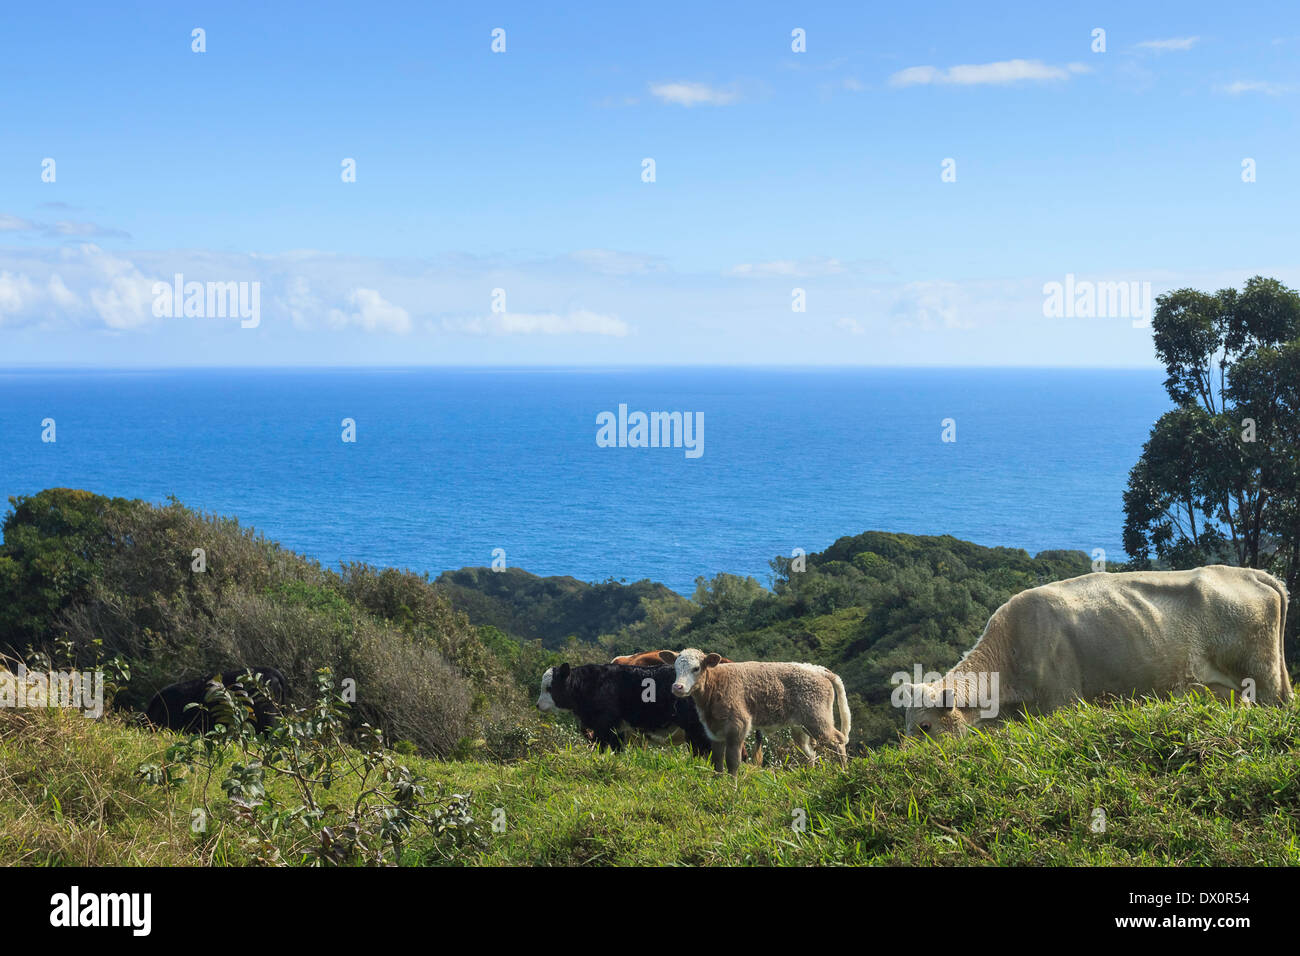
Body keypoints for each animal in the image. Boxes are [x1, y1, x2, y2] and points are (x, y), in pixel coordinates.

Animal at [536, 662, 713, 757]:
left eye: (550, 687)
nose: (537, 705)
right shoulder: (617, 729)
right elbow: (617, 750)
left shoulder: (603, 726)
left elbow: (601, 748)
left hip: (695, 729)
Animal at [660, 649, 850, 776]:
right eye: (676, 668)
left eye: (696, 668)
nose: (677, 687)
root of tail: (818, 669)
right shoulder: (715, 731)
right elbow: (718, 763)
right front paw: (719, 785)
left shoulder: (738, 726)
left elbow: (733, 762)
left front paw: (732, 789)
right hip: (801, 727)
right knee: (810, 751)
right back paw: (809, 775)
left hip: (818, 719)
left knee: (838, 740)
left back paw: (843, 771)